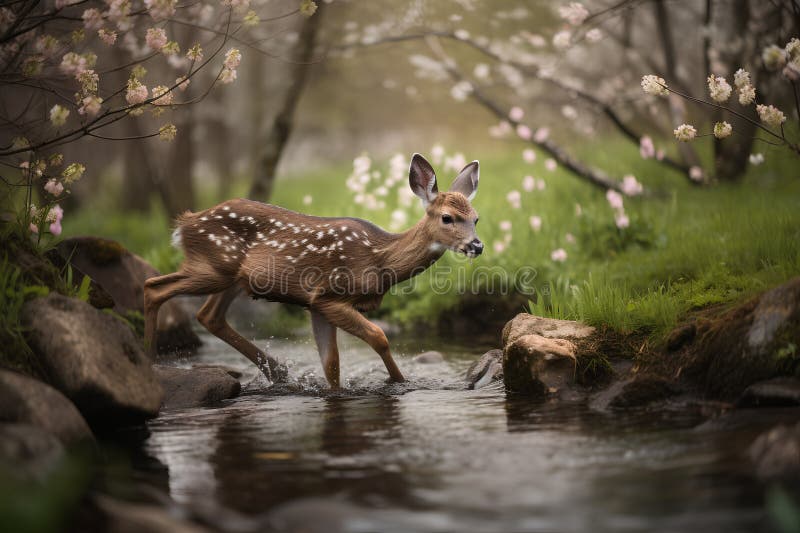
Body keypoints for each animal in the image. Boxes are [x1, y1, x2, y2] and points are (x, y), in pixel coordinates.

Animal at [143, 153, 482, 389]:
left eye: (475, 218)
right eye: (448, 217)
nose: (477, 245)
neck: (380, 259)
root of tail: (184, 224)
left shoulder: (316, 305)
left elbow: (331, 365)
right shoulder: (330, 294)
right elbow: (378, 336)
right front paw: (400, 382)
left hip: (232, 279)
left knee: (207, 315)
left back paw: (278, 371)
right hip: (211, 268)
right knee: (153, 286)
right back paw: (149, 364)